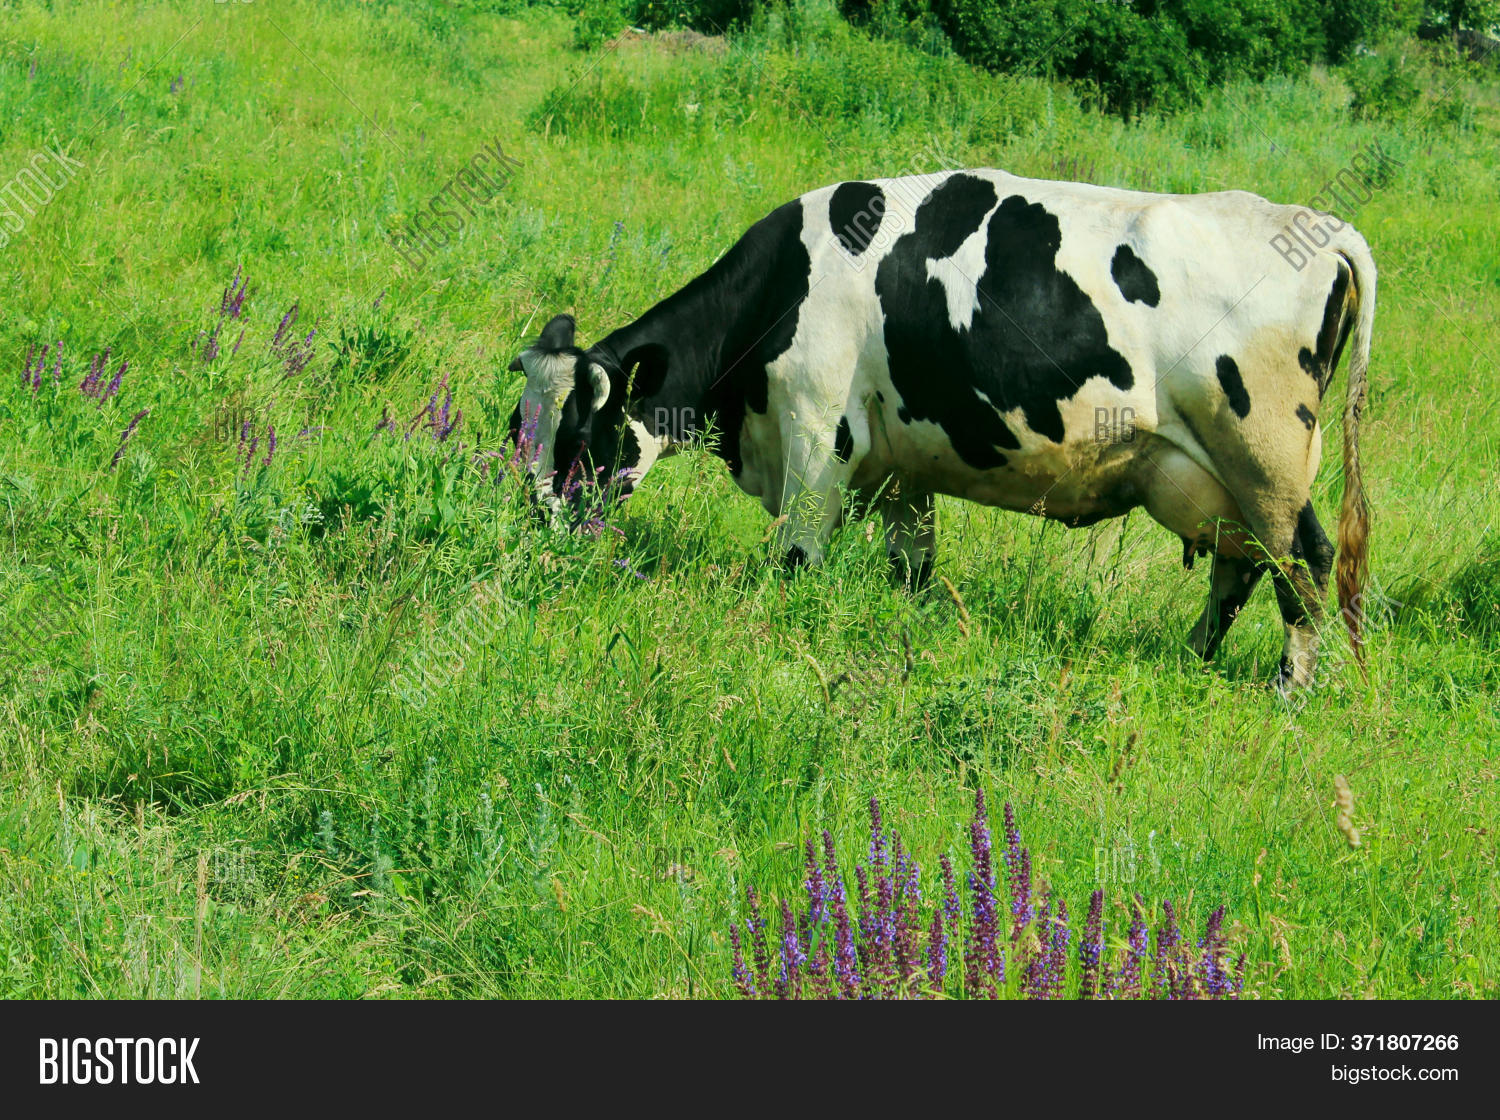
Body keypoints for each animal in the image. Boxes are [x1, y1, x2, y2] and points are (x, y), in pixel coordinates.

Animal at [507, 169, 1375, 693]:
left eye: (579, 433)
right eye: (518, 422)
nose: (536, 525)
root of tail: (1321, 226)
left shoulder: (815, 438)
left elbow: (795, 561)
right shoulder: (903, 469)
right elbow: (913, 568)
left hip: (1265, 457)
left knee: (1303, 561)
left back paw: (1289, 690)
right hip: (1216, 475)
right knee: (1243, 567)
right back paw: (1192, 659)